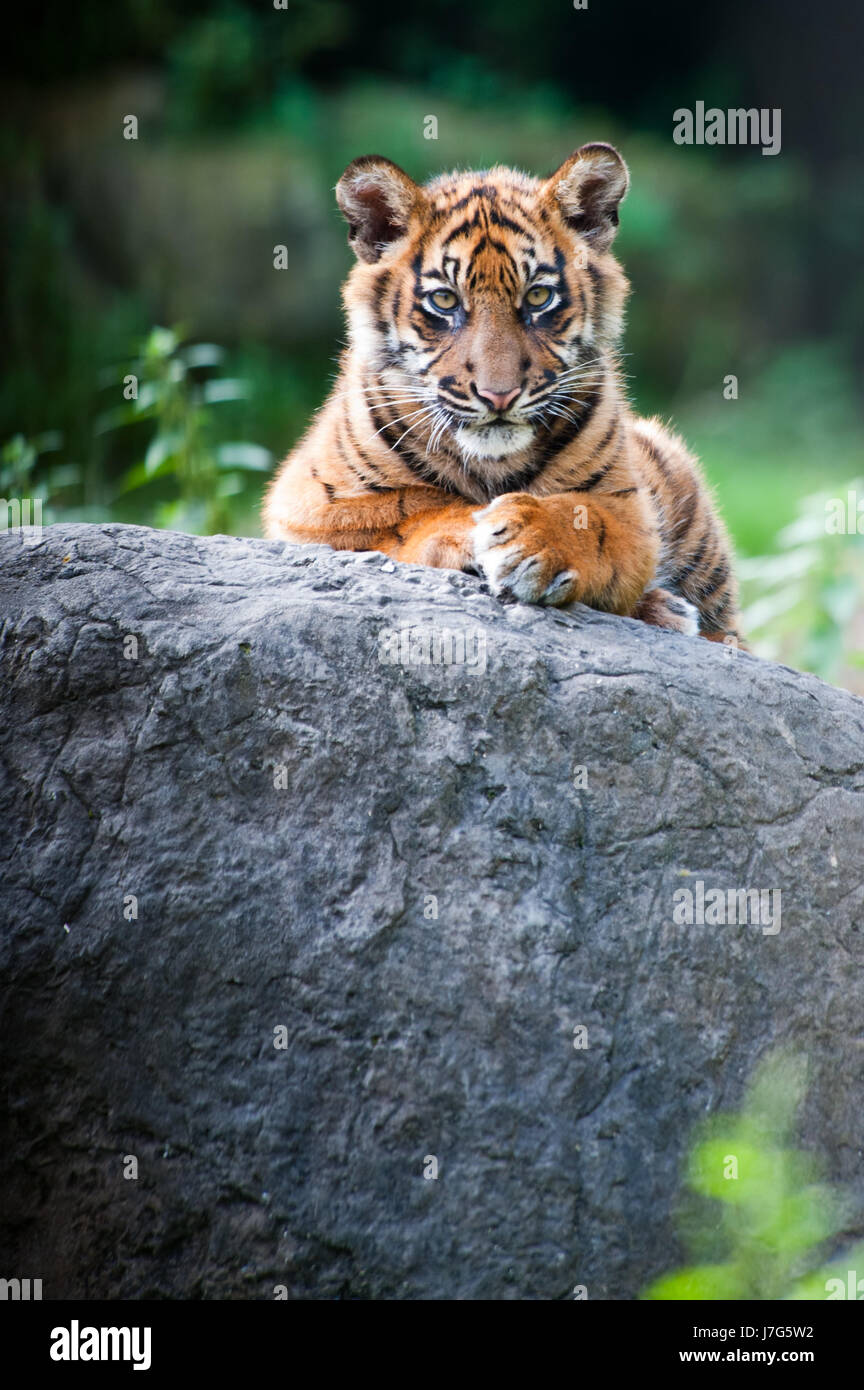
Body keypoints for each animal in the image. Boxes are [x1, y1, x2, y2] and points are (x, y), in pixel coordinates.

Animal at [263, 143, 741, 644]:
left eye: (537, 298)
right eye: (445, 301)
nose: (499, 396)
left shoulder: (628, 508)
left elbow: (585, 518)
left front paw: (535, 542)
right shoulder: (308, 504)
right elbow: (409, 509)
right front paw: (471, 531)